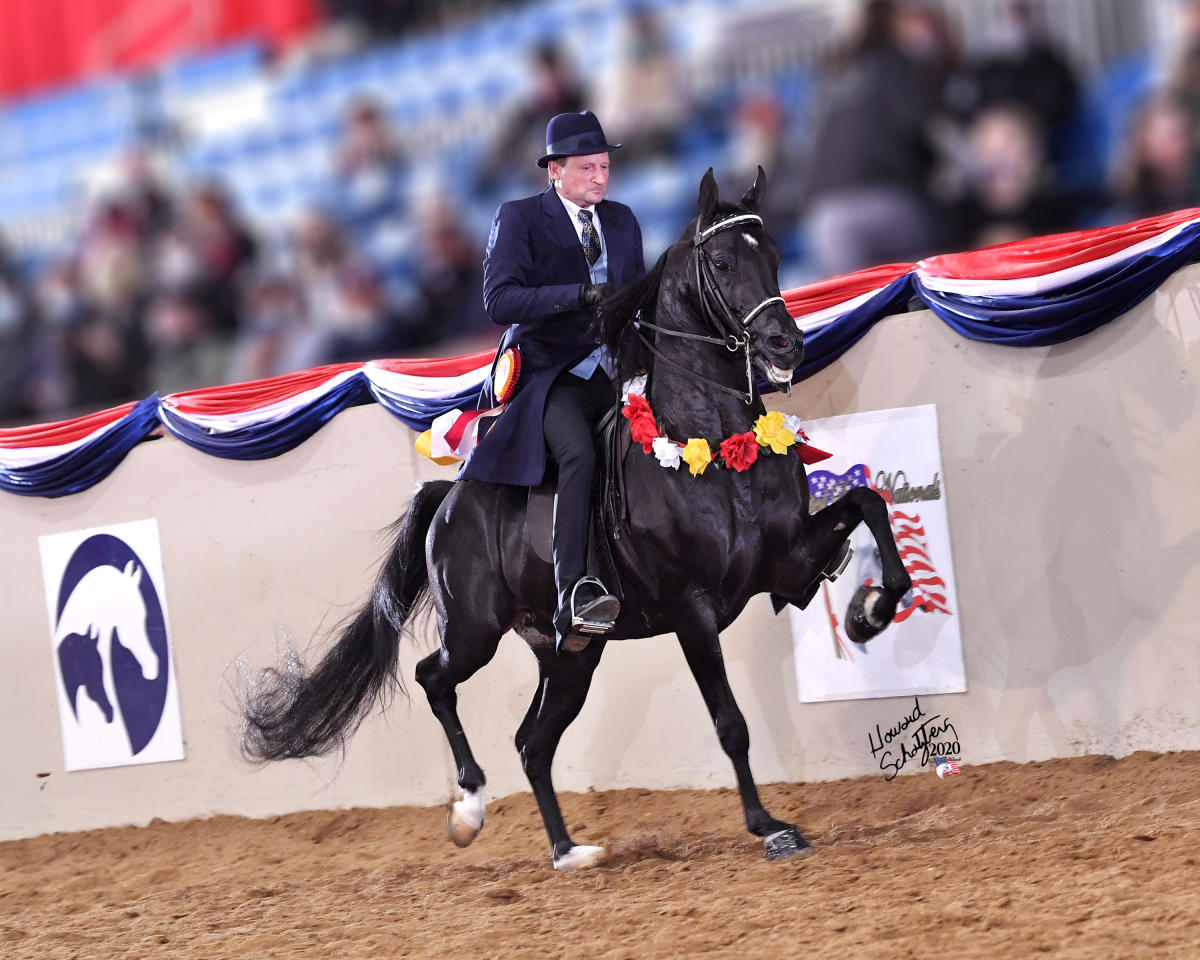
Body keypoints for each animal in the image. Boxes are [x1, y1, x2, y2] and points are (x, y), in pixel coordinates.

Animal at [240, 168, 913, 869]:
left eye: (778, 256)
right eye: (724, 262)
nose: (787, 343)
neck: (716, 446)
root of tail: (449, 498)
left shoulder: (786, 564)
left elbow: (869, 503)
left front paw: (869, 613)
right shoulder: (693, 607)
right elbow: (729, 722)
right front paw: (770, 827)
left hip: (570, 656)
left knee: (532, 743)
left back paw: (568, 849)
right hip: (476, 631)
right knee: (434, 679)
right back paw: (469, 807)